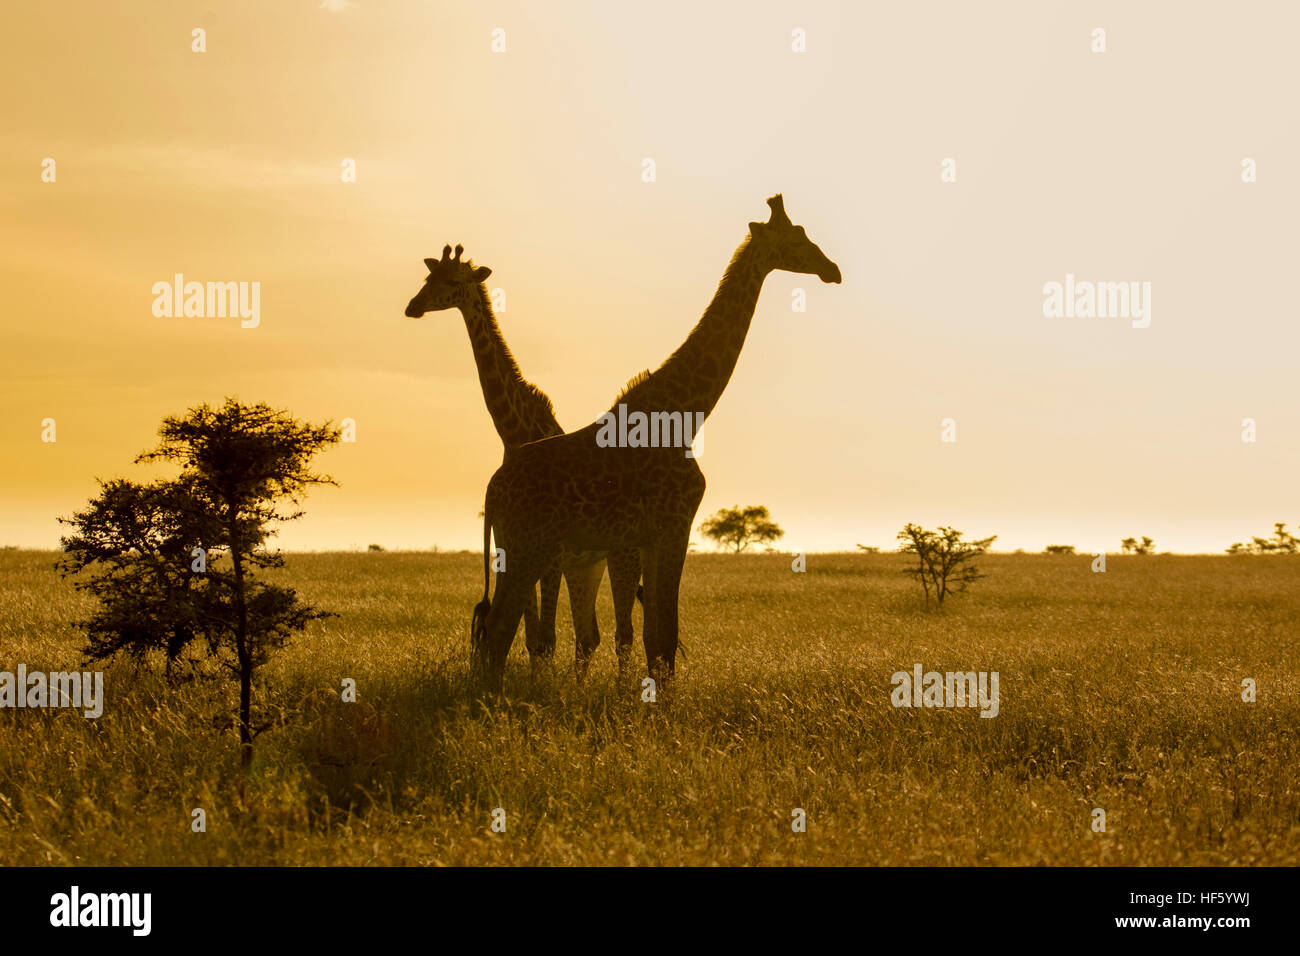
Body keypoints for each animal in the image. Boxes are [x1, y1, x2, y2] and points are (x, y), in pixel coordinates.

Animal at [405, 244, 641, 675]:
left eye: (453, 281)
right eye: (428, 277)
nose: (413, 306)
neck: (514, 434)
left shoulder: (551, 556)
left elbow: (546, 639)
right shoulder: (517, 547)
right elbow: (532, 639)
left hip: (621, 556)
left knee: (623, 634)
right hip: (588, 564)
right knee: (589, 637)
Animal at [471, 195, 841, 691]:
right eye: (797, 236)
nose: (832, 269)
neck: (688, 413)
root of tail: (493, 487)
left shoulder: (647, 537)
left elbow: (654, 638)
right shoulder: (675, 525)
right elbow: (664, 637)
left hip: (522, 550)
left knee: (498, 630)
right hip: (529, 547)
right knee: (498, 631)